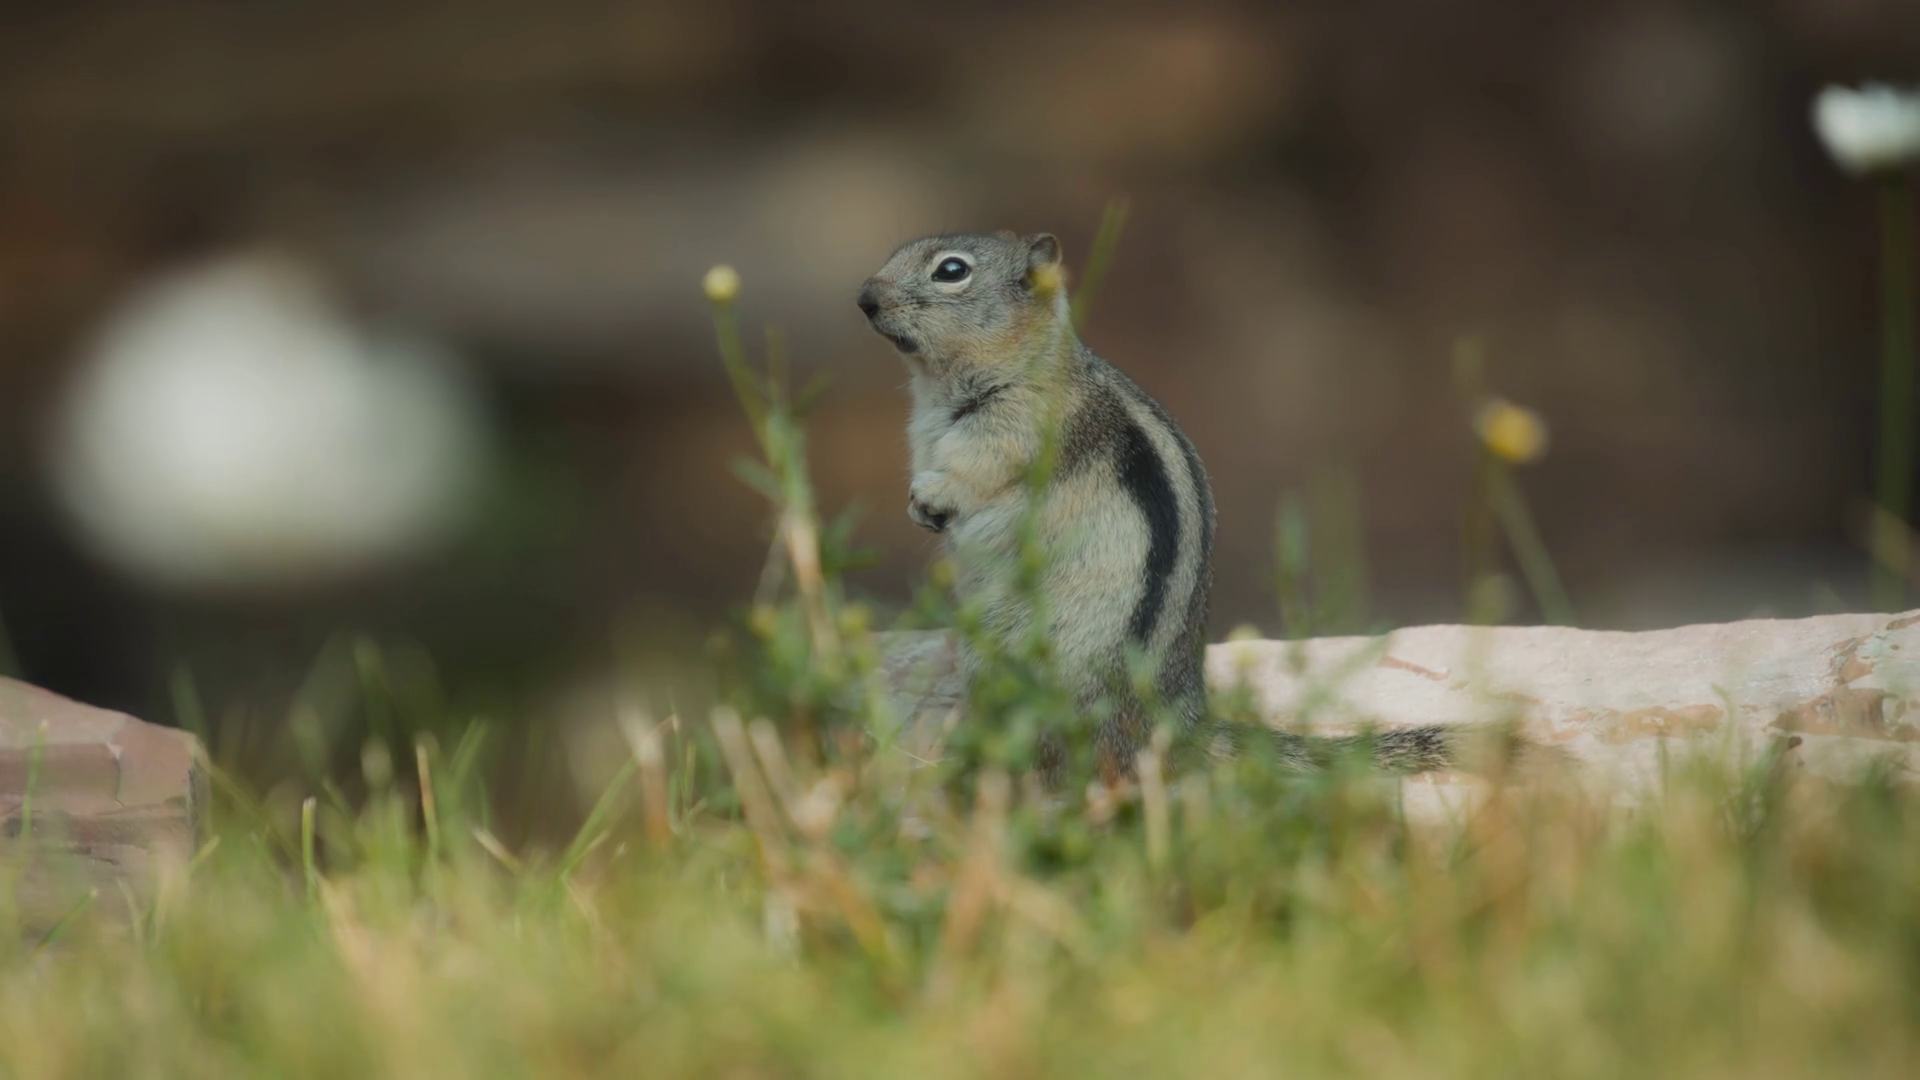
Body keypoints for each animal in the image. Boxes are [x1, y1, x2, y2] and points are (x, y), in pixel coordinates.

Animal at [858, 230, 1553, 790]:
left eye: (951, 270)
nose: (864, 296)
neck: (946, 387)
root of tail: (1177, 720)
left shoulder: (1016, 433)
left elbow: (976, 473)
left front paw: (934, 498)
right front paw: (918, 507)